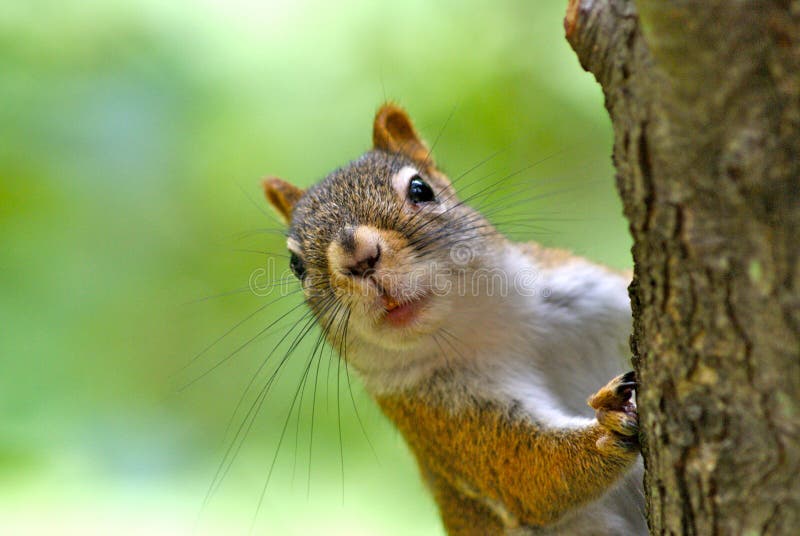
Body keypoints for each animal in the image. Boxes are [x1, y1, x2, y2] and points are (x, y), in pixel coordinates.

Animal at [261, 104, 646, 535]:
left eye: (420, 189)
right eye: (296, 265)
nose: (357, 258)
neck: (484, 327)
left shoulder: (592, 292)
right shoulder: (439, 414)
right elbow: (527, 469)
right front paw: (608, 426)